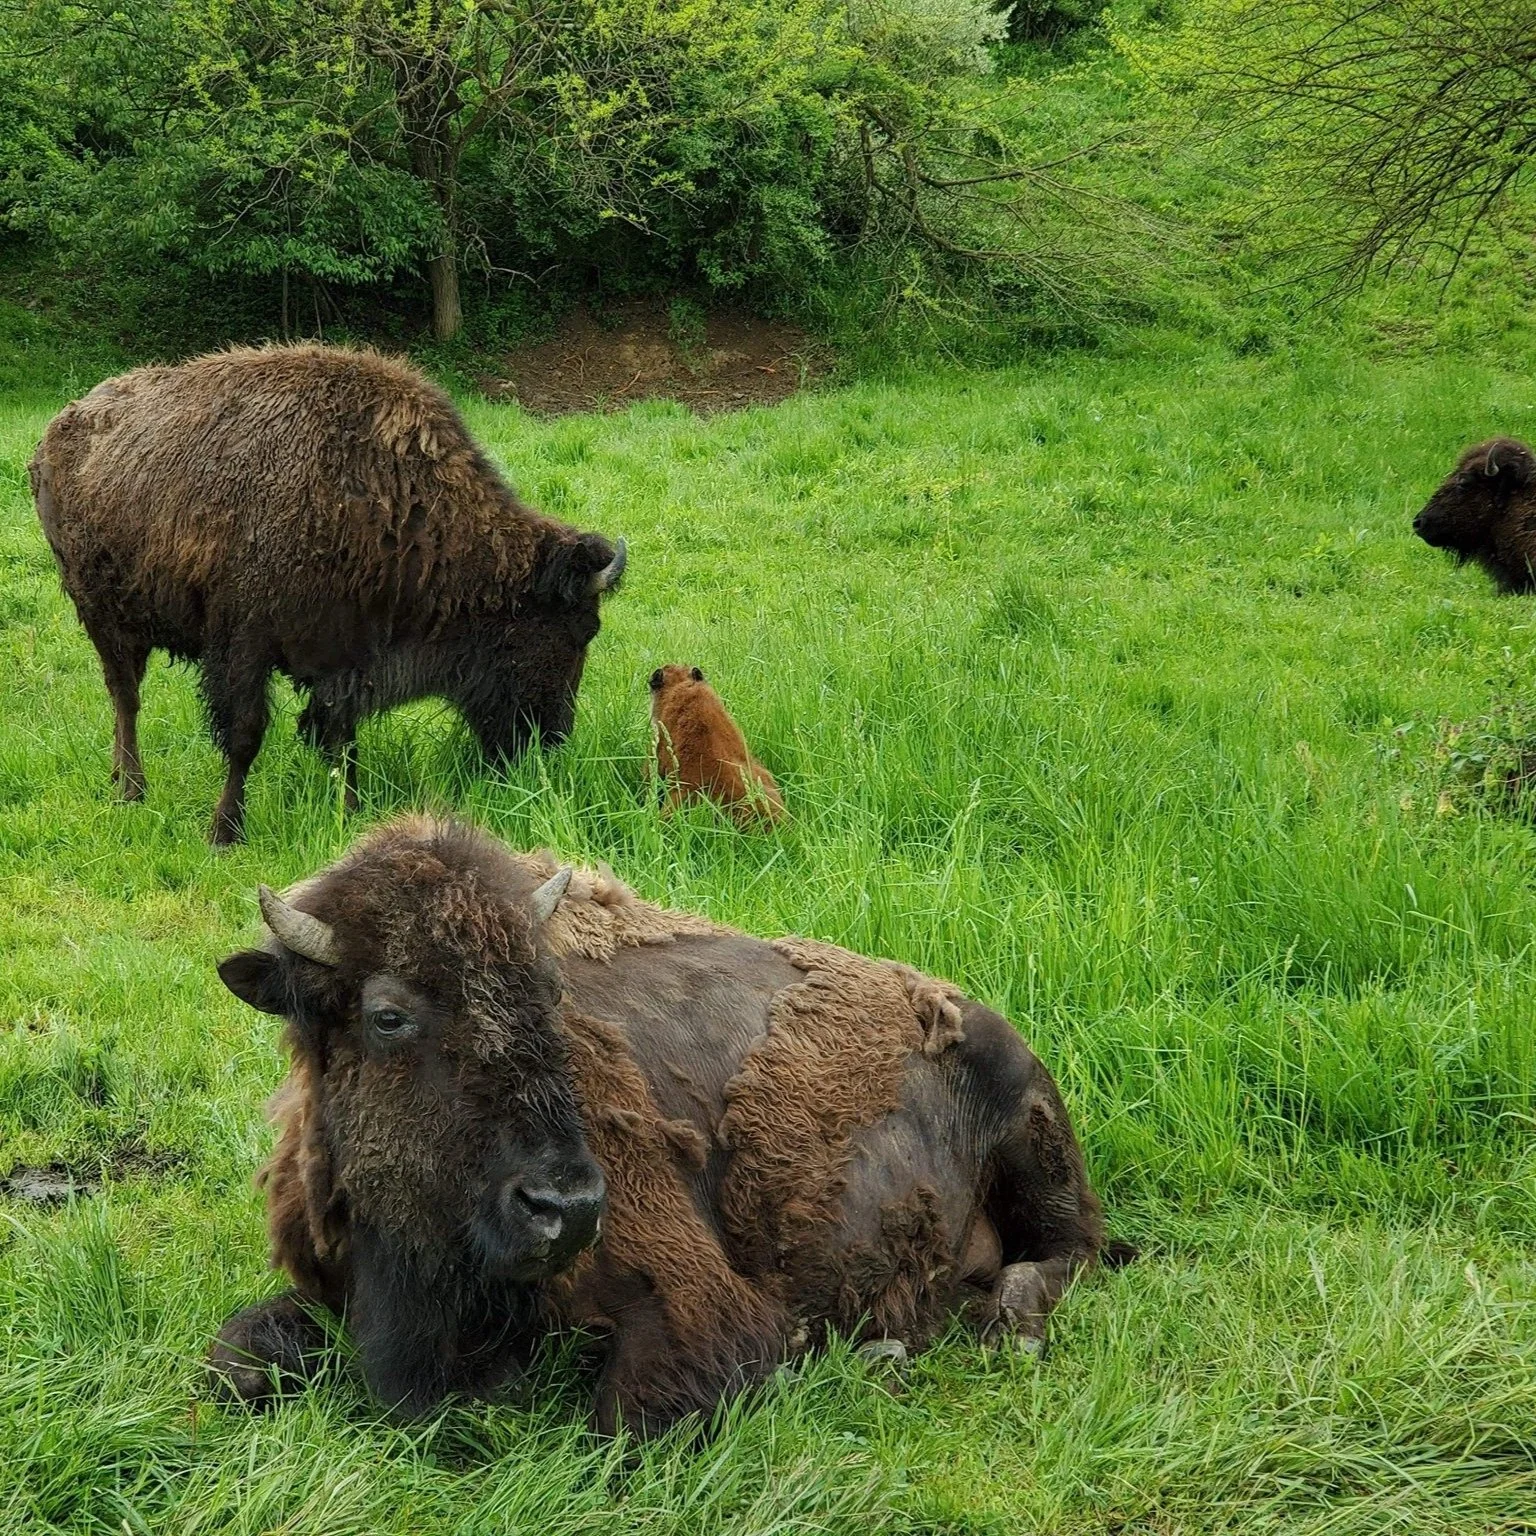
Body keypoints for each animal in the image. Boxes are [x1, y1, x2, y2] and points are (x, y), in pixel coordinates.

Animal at [29, 346, 625, 843]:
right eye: (582, 631)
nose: (553, 739)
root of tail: (55, 432)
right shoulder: (243, 647)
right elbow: (246, 734)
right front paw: (225, 830)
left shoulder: (346, 658)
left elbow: (343, 735)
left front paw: (352, 810)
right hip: (101, 614)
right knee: (125, 697)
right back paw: (132, 790)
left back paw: (121, 781)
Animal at [211, 816, 1123, 1435]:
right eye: (388, 1015)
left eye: (551, 993)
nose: (567, 1208)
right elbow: (232, 1361)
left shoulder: (694, 1304)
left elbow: (621, 1424)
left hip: (1035, 1145)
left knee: (1071, 1256)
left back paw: (980, 1332)